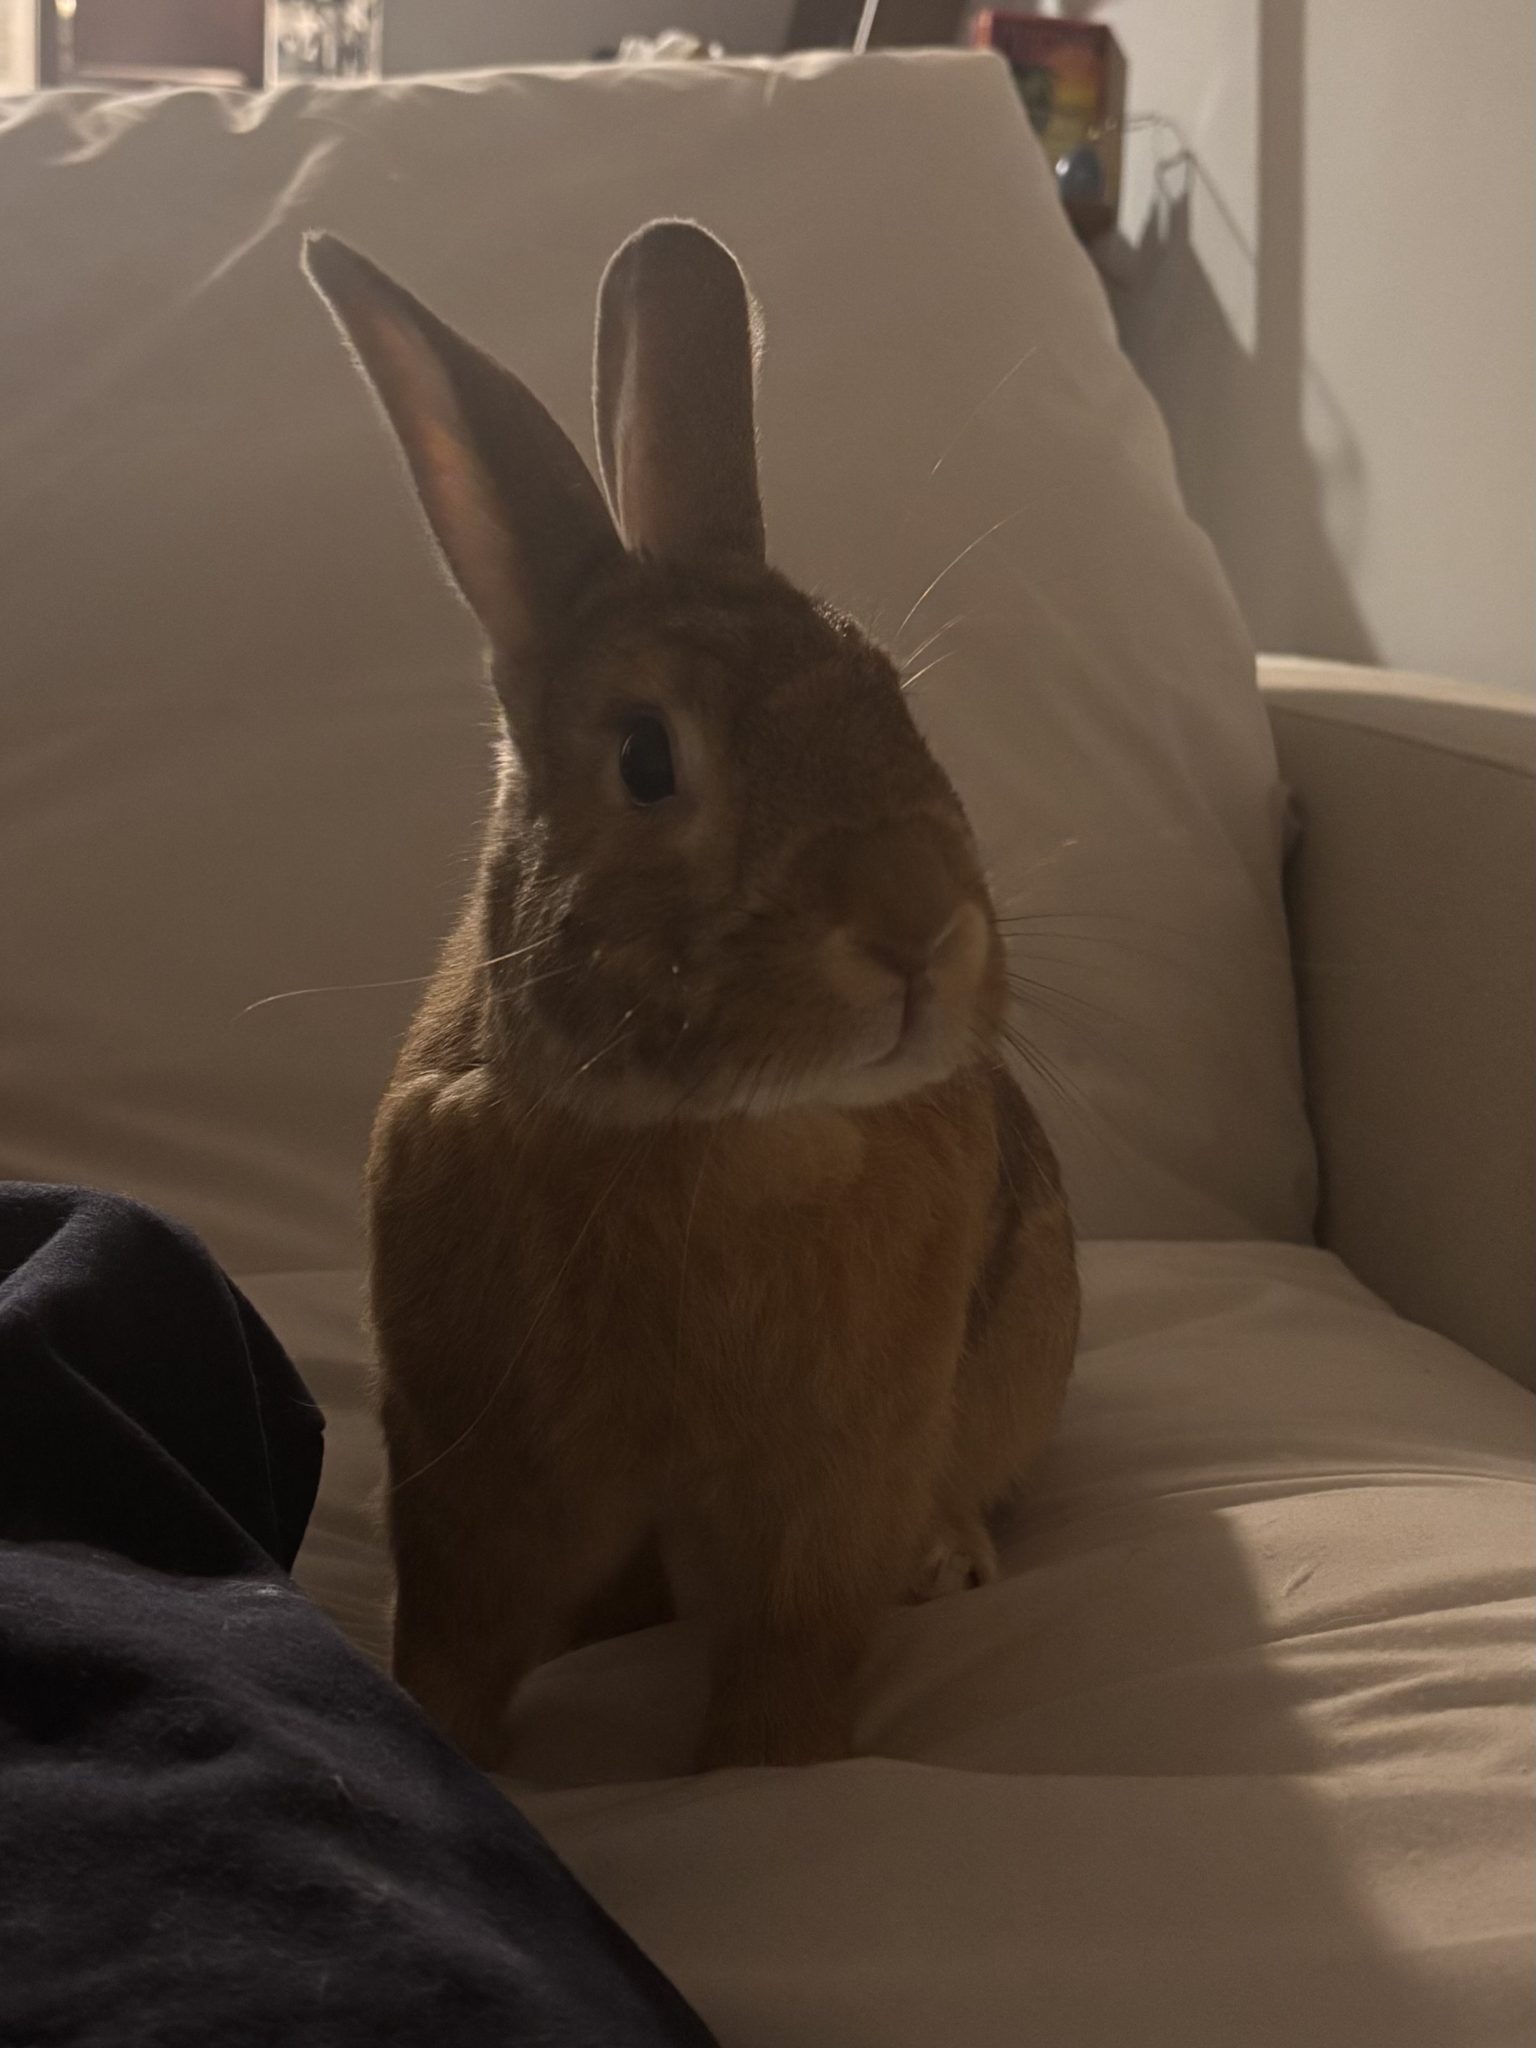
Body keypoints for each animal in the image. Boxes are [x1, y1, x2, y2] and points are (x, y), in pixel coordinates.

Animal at [304, 219, 1080, 1774]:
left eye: (889, 693)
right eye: (647, 758)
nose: (919, 928)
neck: (711, 1133)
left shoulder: (827, 1502)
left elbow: (786, 1678)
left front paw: (766, 1770)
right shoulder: (471, 1480)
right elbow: (456, 1652)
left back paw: (950, 1555)